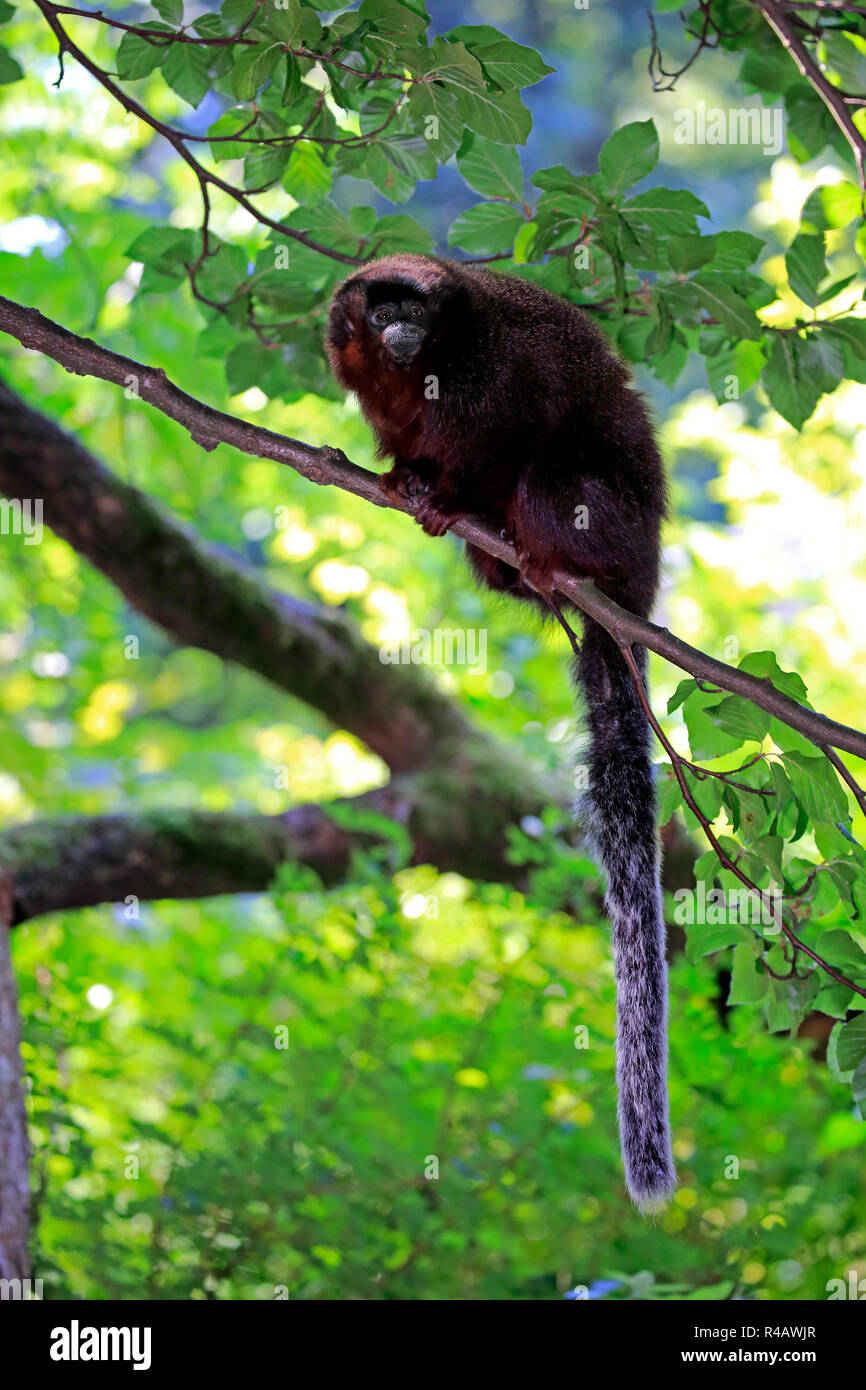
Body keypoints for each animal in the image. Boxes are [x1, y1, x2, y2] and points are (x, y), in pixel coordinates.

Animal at [327, 253, 674, 1209]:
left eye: (414, 313)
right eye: (382, 313)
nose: (401, 331)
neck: (421, 361)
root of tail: (642, 584)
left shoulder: (486, 369)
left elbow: (501, 437)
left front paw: (443, 489)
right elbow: (406, 442)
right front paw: (406, 479)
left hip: (615, 519)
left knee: (550, 468)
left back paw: (559, 561)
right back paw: (508, 564)